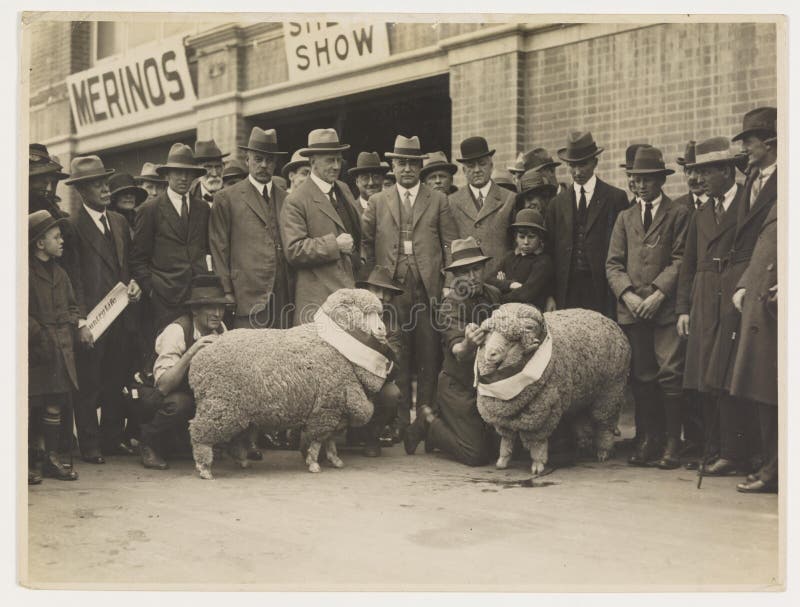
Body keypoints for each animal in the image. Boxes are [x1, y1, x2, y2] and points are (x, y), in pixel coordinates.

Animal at [188, 289, 392, 479]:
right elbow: (318, 440)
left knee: (235, 439)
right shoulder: (326, 409)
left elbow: (330, 440)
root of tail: (200, 358)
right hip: (220, 404)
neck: (336, 345)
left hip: (239, 411)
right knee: (199, 431)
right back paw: (204, 467)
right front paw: (313, 463)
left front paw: (334, 459)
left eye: (379, 314)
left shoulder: (337, 409)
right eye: (364, 313)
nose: (382, 329)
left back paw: (242, 460)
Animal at [475, 304, 630, 476]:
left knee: (604, 422)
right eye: (489, 334)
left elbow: (537, 442)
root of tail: (608, 319)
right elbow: (507, 439)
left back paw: (603, 451)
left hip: (611, 390)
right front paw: (502, 460)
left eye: (513, 341)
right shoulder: (503, 415)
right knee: (582, 418)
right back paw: (583, 447)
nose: (490, 354)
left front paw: (538, 464)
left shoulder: (543, 411)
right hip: (582, 394)